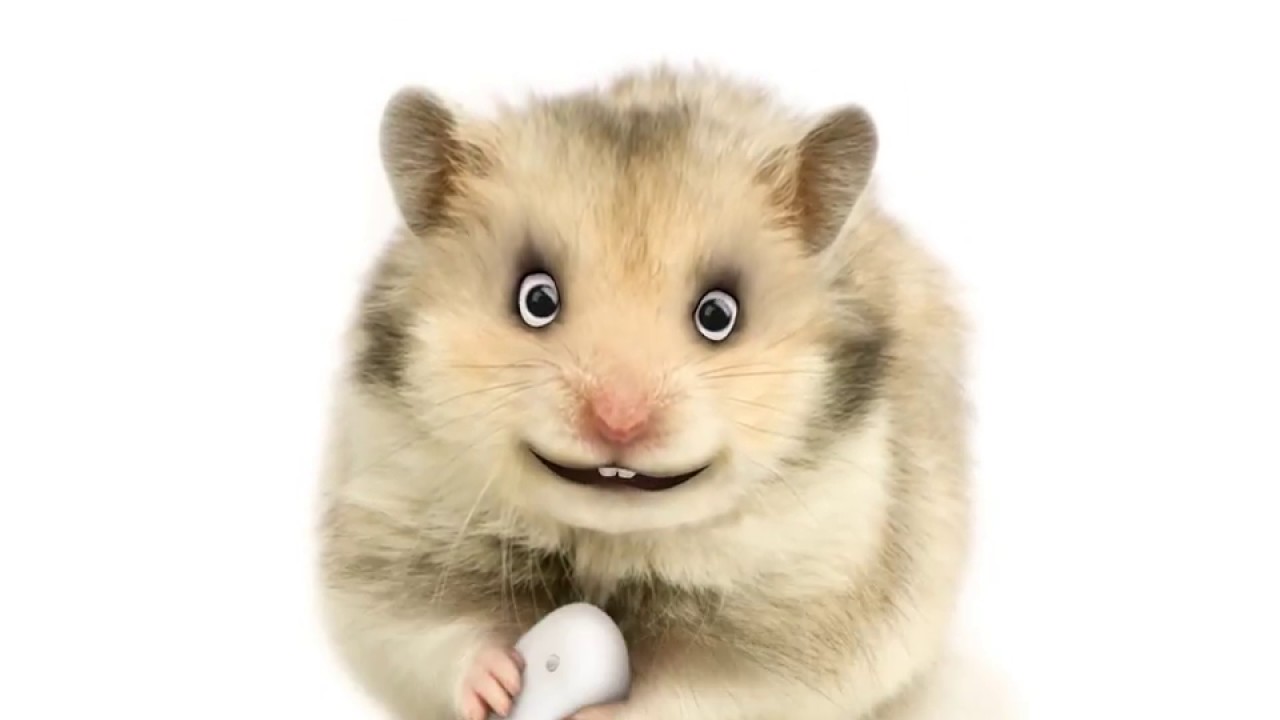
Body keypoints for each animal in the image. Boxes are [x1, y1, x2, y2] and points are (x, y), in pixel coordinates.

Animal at [317, 65, 971, 720]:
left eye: (718, 314)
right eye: (535, 299)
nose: (619, 422)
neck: (611, 541)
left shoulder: (800, 620)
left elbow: (687, 693)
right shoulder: (393, 546)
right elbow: (440, 635)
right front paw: (502, 682)